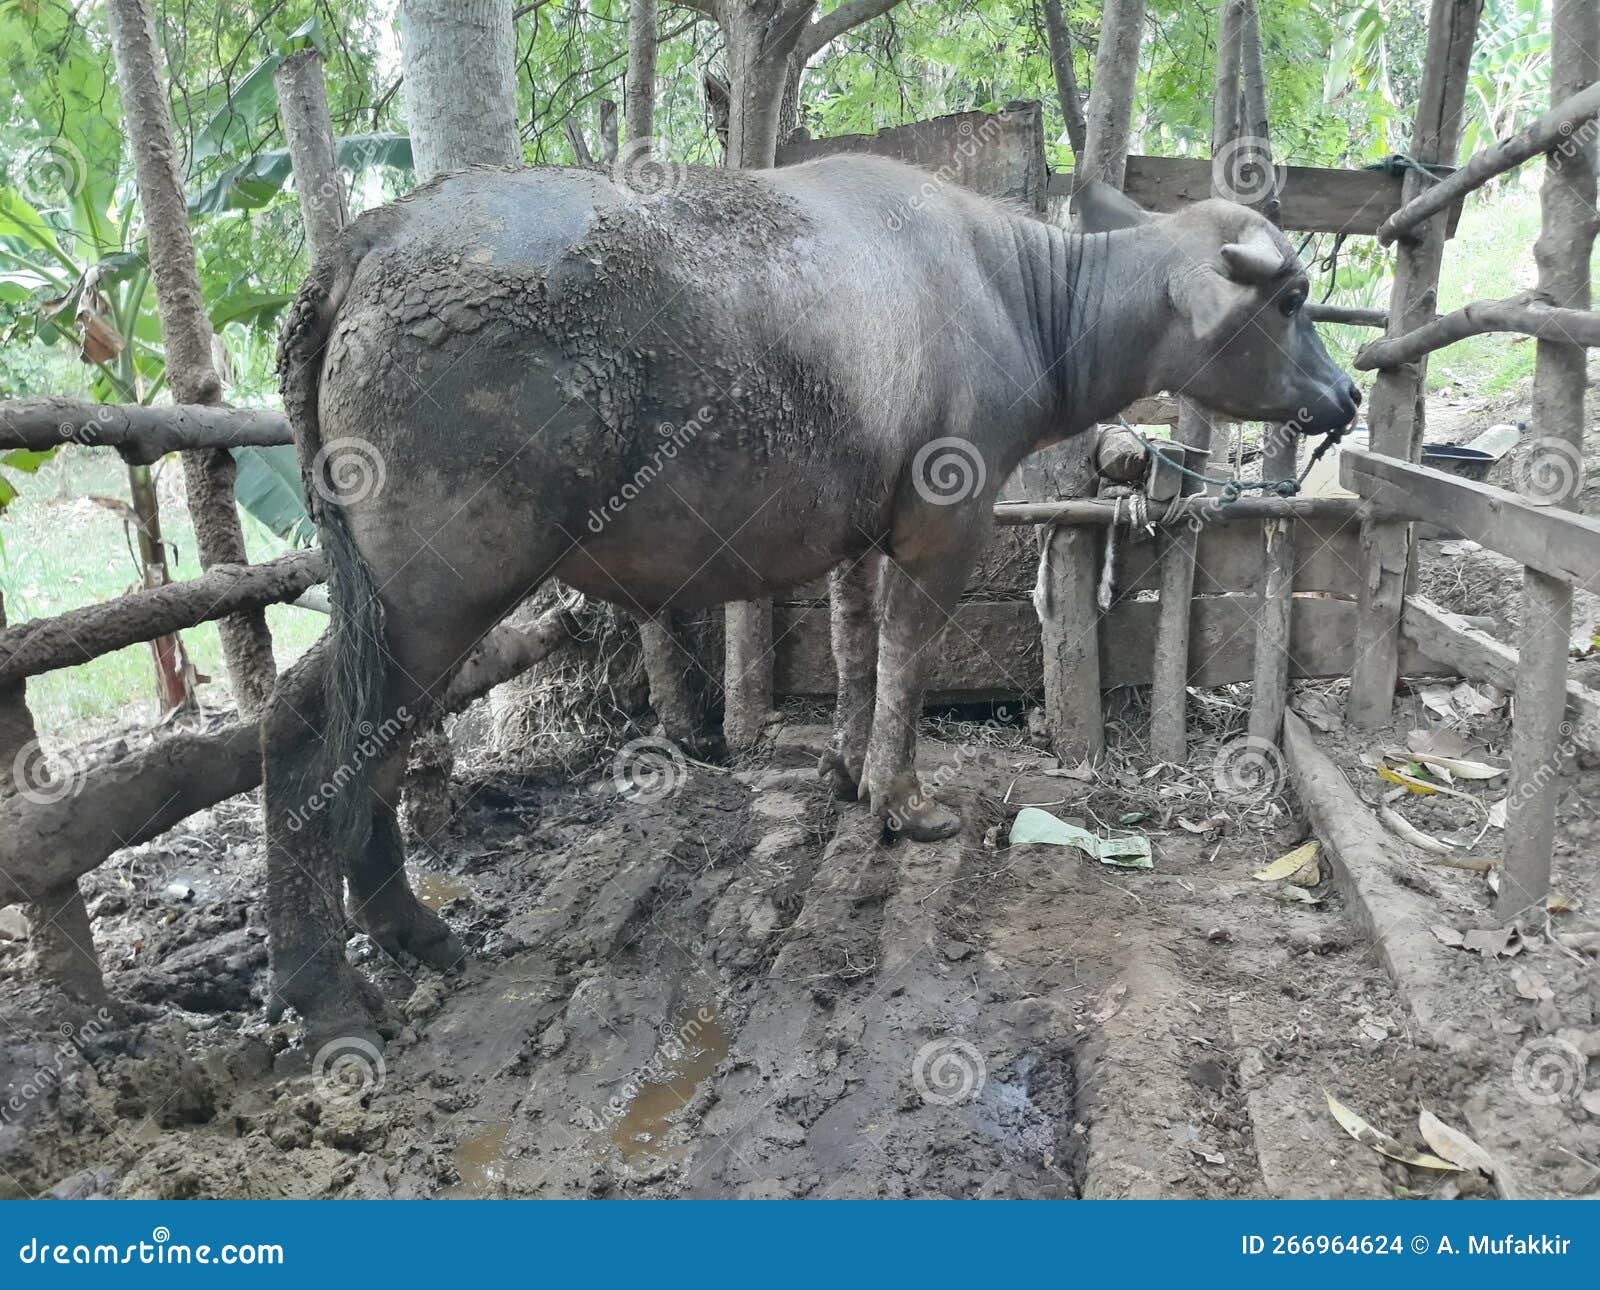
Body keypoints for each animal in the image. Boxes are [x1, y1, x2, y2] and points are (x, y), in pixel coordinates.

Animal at [265, 156, 1360, 1038]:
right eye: (1291, 300)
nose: (1346, 395)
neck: (1013, 293)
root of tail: (365, 243)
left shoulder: (856, 532)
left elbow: (853, 639)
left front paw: (841, 765)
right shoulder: (944, 520)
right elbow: (910, 651)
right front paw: (900, 797)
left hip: (390, 602)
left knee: (340, 729)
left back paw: (408, 933)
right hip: (438, 587)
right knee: (316, 736)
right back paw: (325, 995)